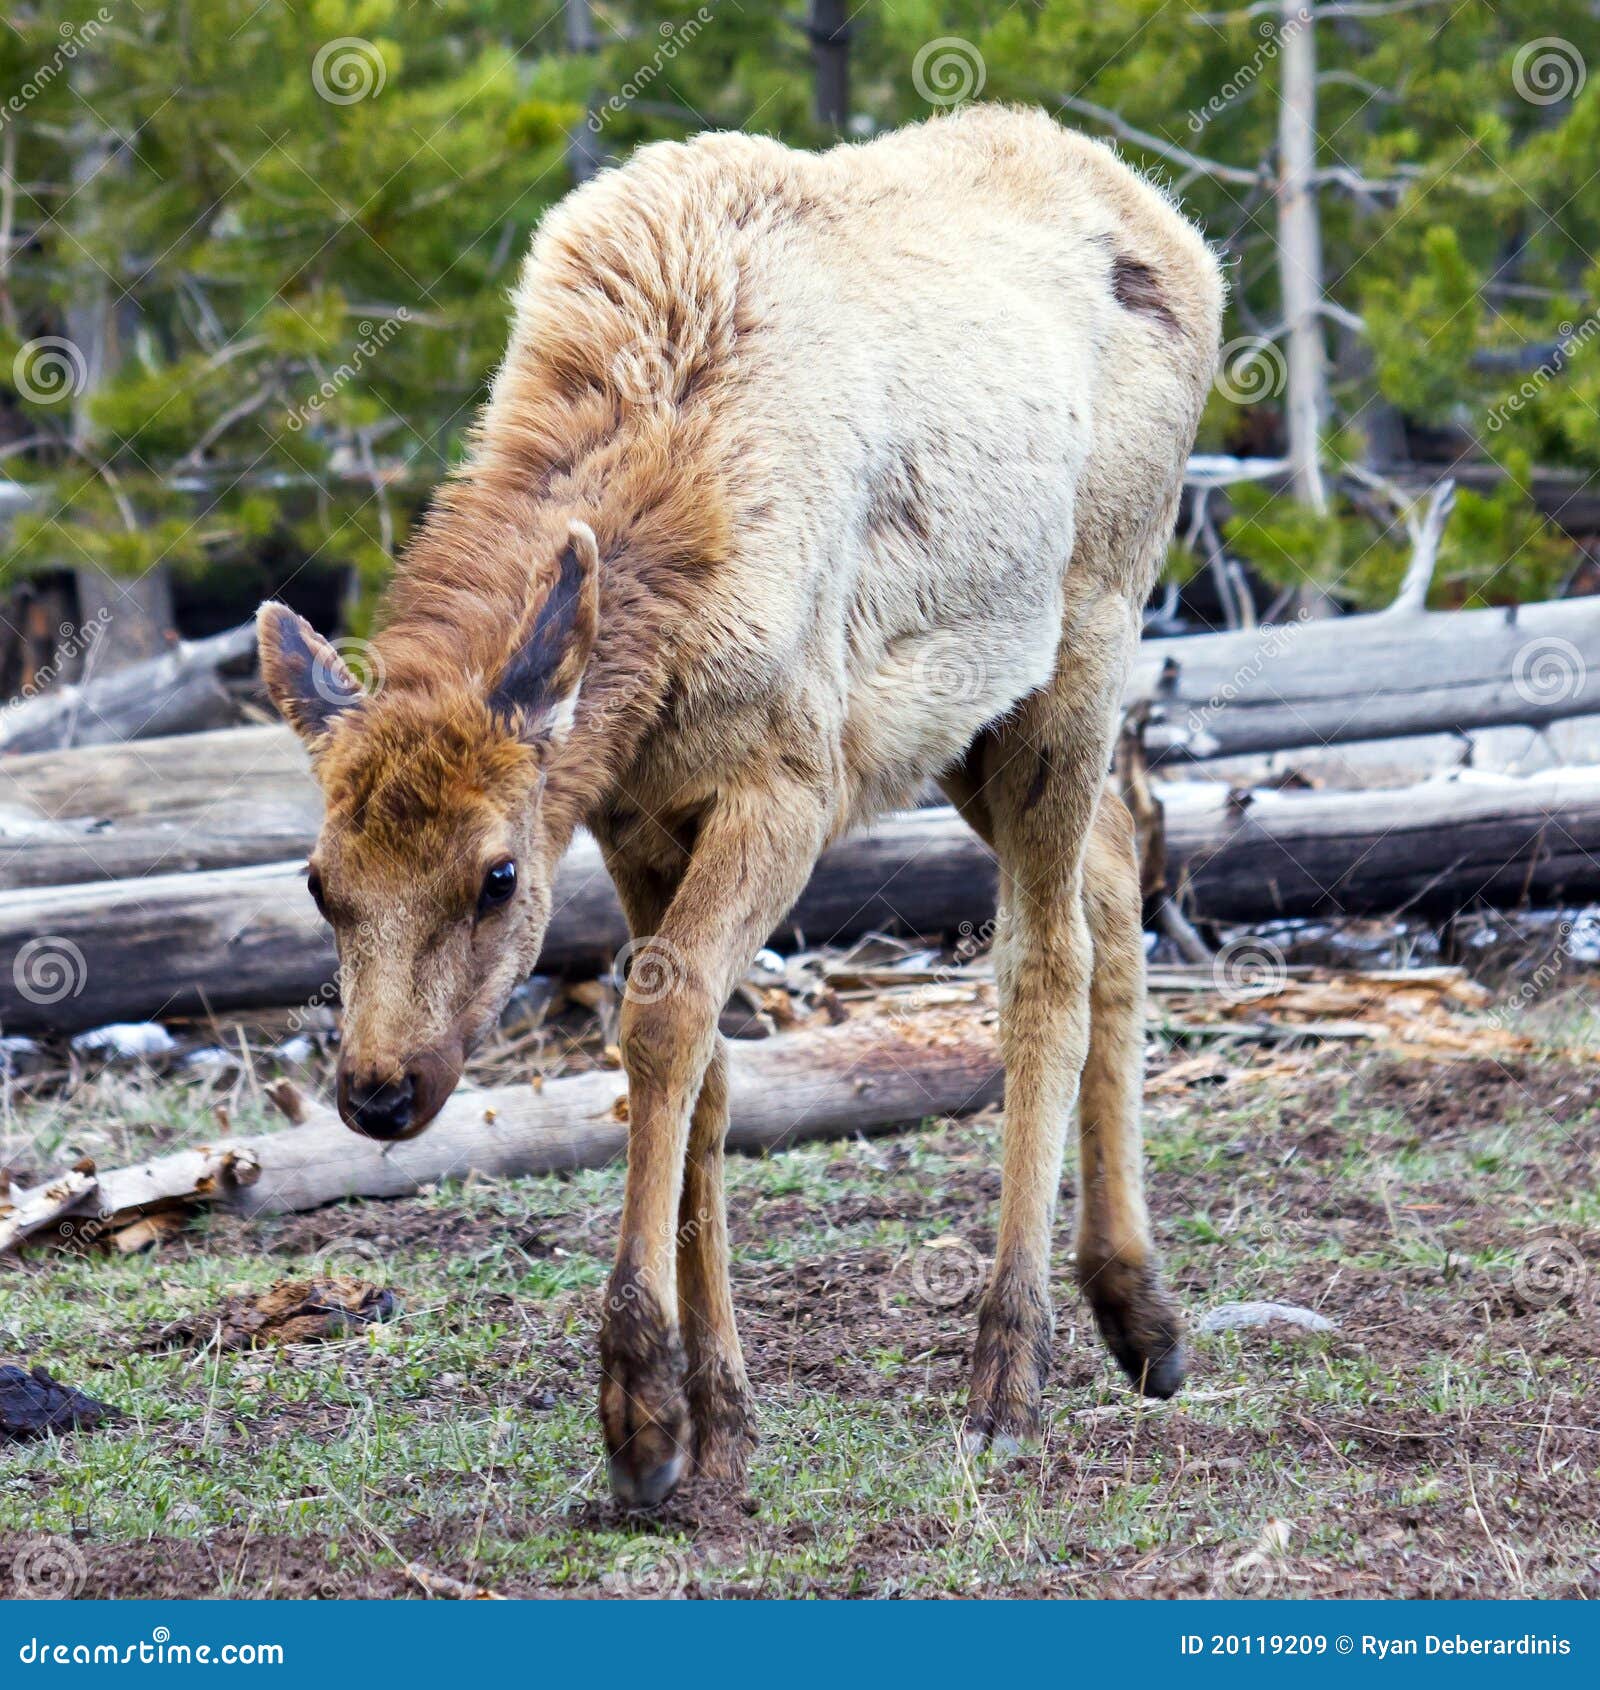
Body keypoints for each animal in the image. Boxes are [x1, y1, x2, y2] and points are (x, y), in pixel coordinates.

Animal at [257, 105, 1223, 1508]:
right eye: (320, 882)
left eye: (498, 875)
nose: (380, 1092)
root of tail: (1175, 229)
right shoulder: (636, 813)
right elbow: (707, 1065)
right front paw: (721, 1417)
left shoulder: (786, 784)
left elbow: (661, 1023)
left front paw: (640, 1415)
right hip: (975, 722)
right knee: (1112, 867)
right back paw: (1137, 1311)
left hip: (1088, 632)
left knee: (1045, 957)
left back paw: (1005, 1370)